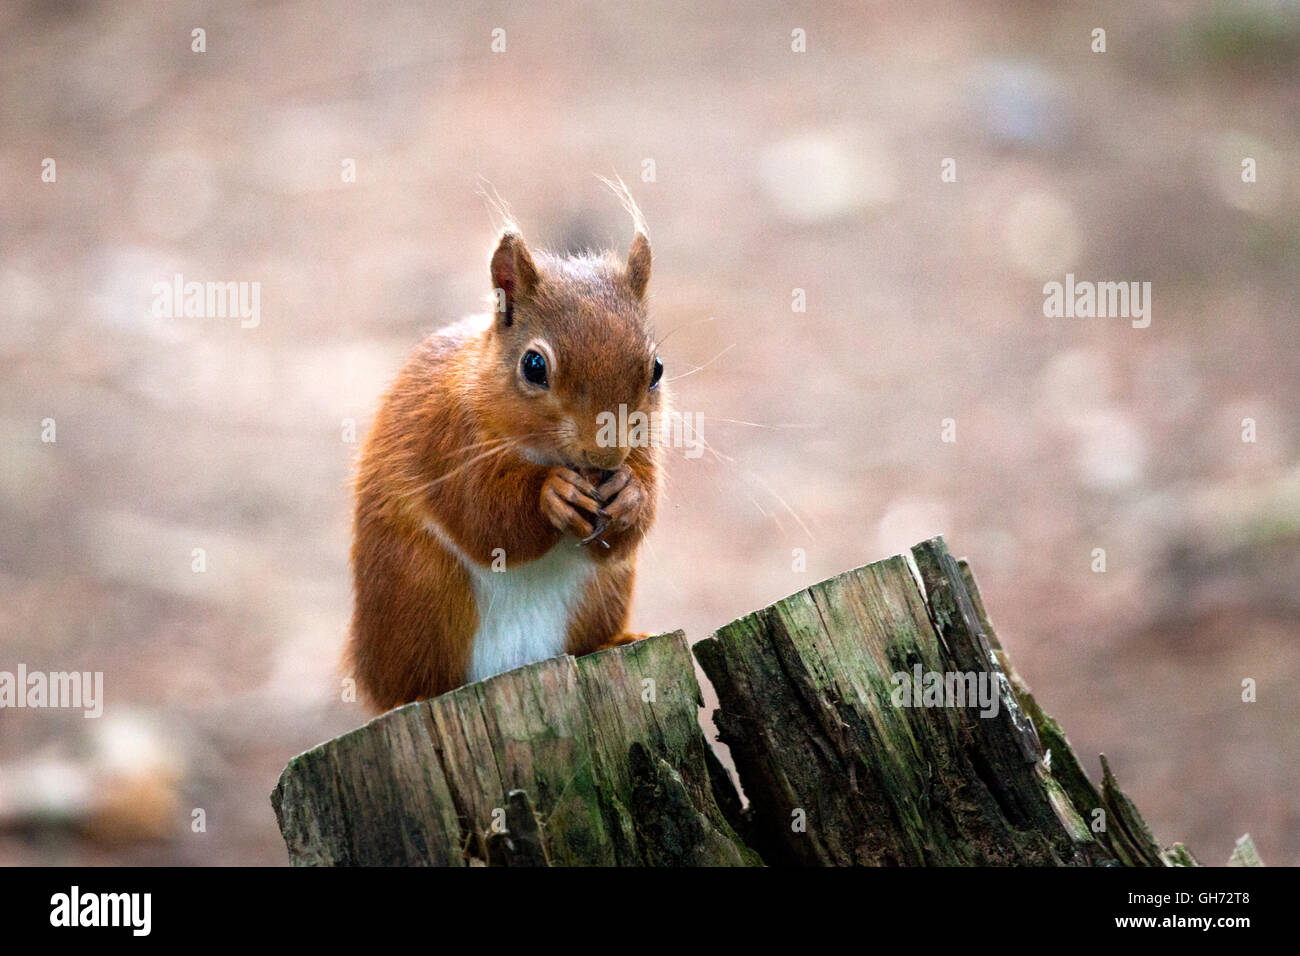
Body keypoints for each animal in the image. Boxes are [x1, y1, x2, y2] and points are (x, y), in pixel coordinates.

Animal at [346, 219, 664, 712]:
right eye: (533, 365)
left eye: (657, 369)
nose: (605, 455)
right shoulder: (449, 438)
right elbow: (484, 518)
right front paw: (552, 493)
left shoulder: (644, 449)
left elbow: (629, 522)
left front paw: (629, 493)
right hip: (419, 593)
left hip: (599, 596)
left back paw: (617, 641)